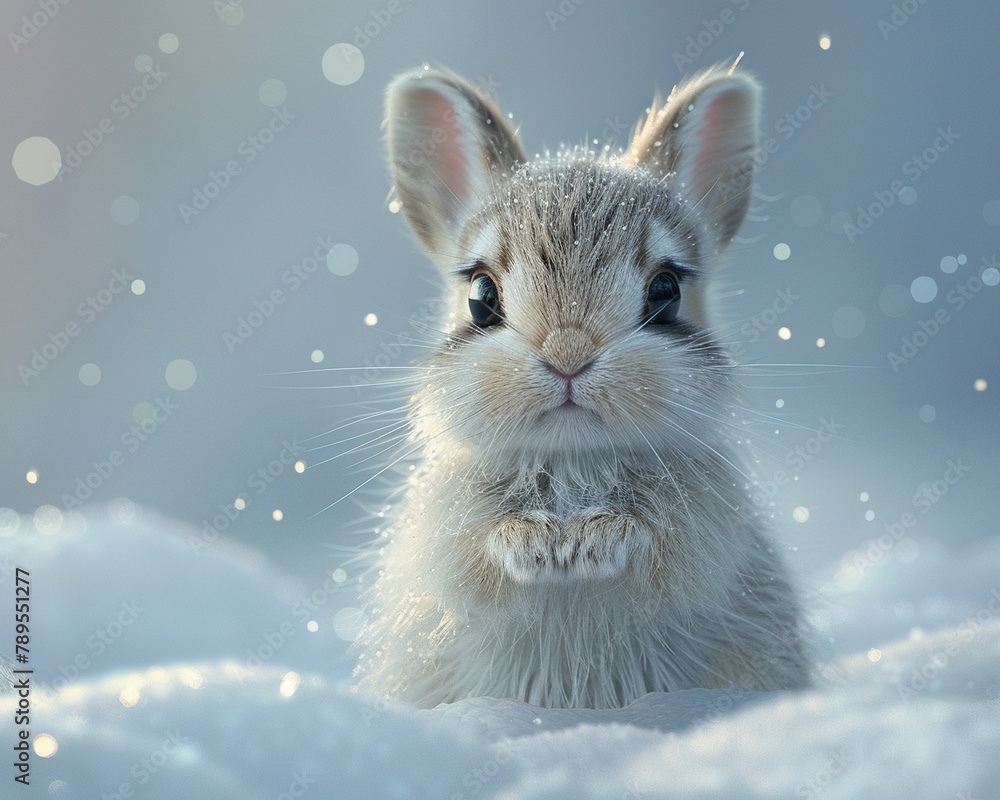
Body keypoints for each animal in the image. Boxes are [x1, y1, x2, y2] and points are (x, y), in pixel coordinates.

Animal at [351, 61, 811, 709]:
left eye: (665, 292)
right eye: (482, 296)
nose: (568, 357)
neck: (572, 462)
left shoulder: (705, 535)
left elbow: (660, 547)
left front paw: (593, 542)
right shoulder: (446, 536)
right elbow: (477, 554)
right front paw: (538, 547)